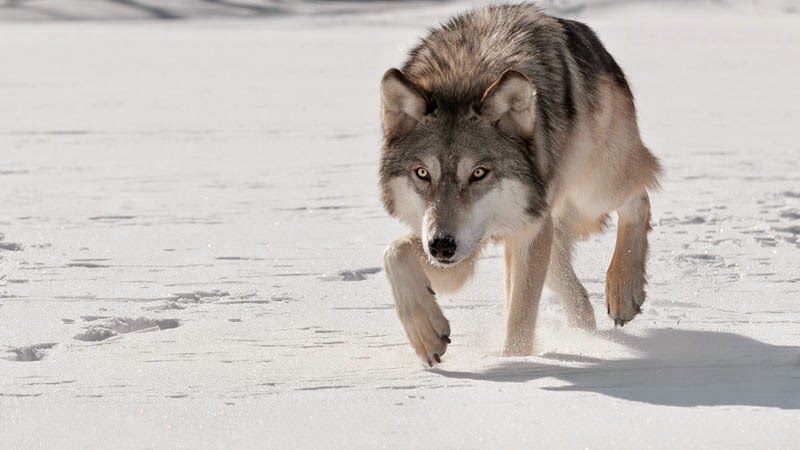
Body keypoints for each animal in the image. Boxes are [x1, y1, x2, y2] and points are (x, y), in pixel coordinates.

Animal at [379, 3, 660, 365]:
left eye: (479, 173)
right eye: (422, 173)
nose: (441, 246)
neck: (464, 76)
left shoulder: (524, 231)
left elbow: (521, 317)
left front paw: (515, 363)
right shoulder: (460, 250)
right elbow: (394, 252)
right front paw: (427, 335)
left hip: (594, 189)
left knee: (639, 196)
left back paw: (623, 292)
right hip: (545, 224)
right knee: (573, 289)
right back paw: (586, 332)